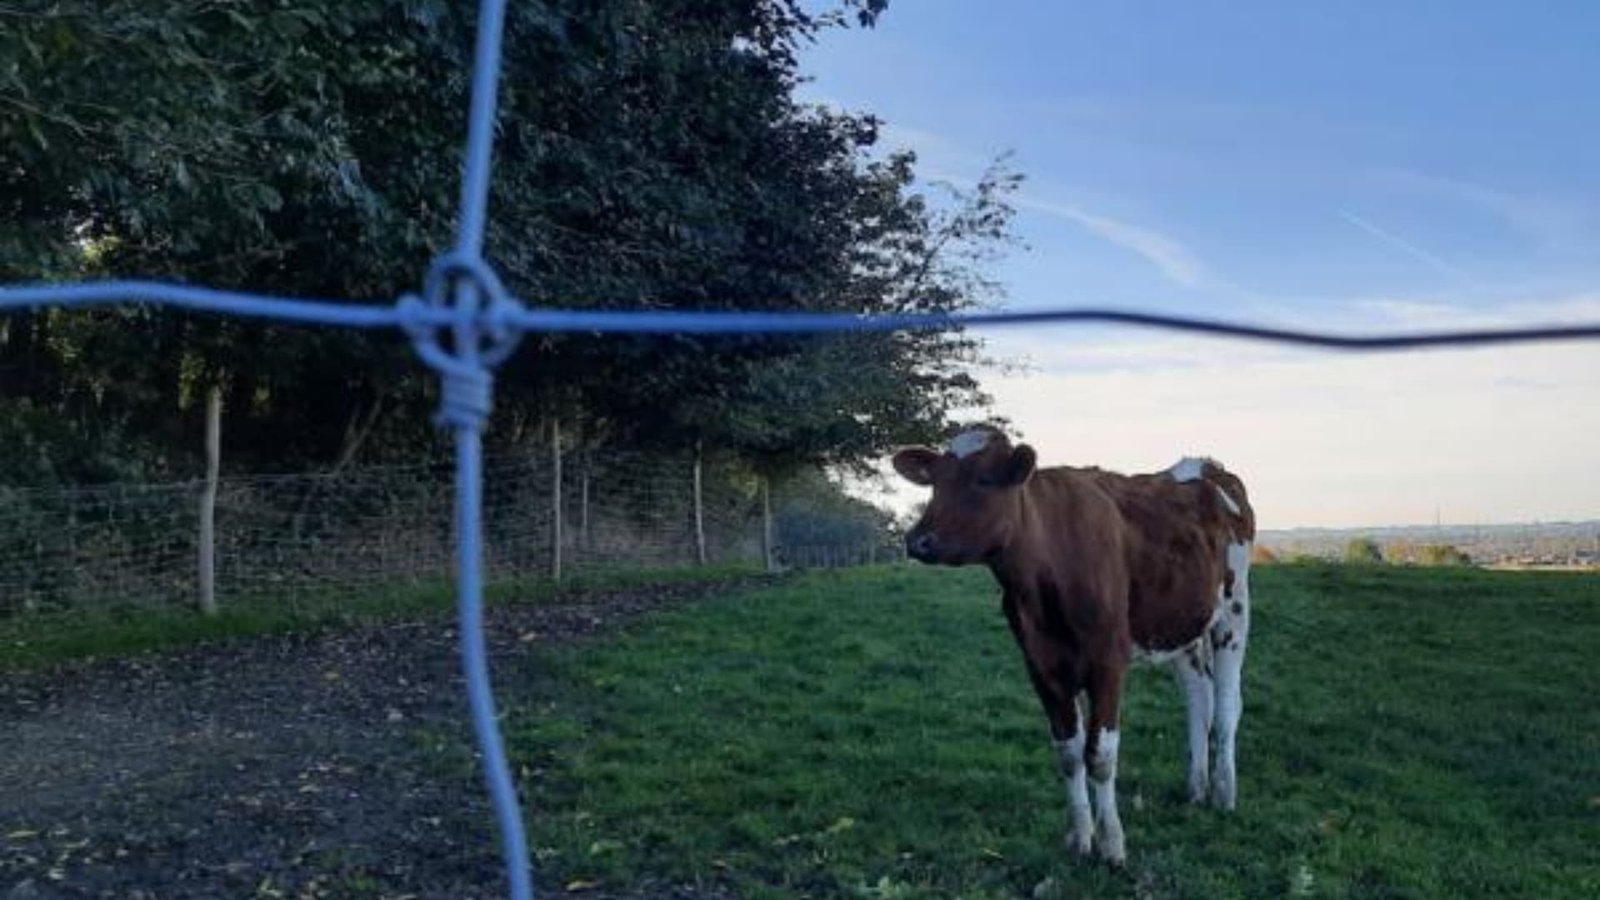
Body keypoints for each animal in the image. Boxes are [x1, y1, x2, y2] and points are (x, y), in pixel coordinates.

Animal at [891, 425, 1255, 865]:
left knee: (1227, 706)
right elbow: (1068, 753)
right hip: (1181, 623)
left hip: (1234, 612)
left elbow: (1100, 755)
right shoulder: (1041, 666)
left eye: (983, 479)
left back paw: (1224, 793)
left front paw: (1113, 845)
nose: (918, 541)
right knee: (1198, 698)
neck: (1043, 586)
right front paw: (1081, 839)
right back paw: (1196, 788)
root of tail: (1203, 465)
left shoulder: (1108, 662)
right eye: (936, 481)